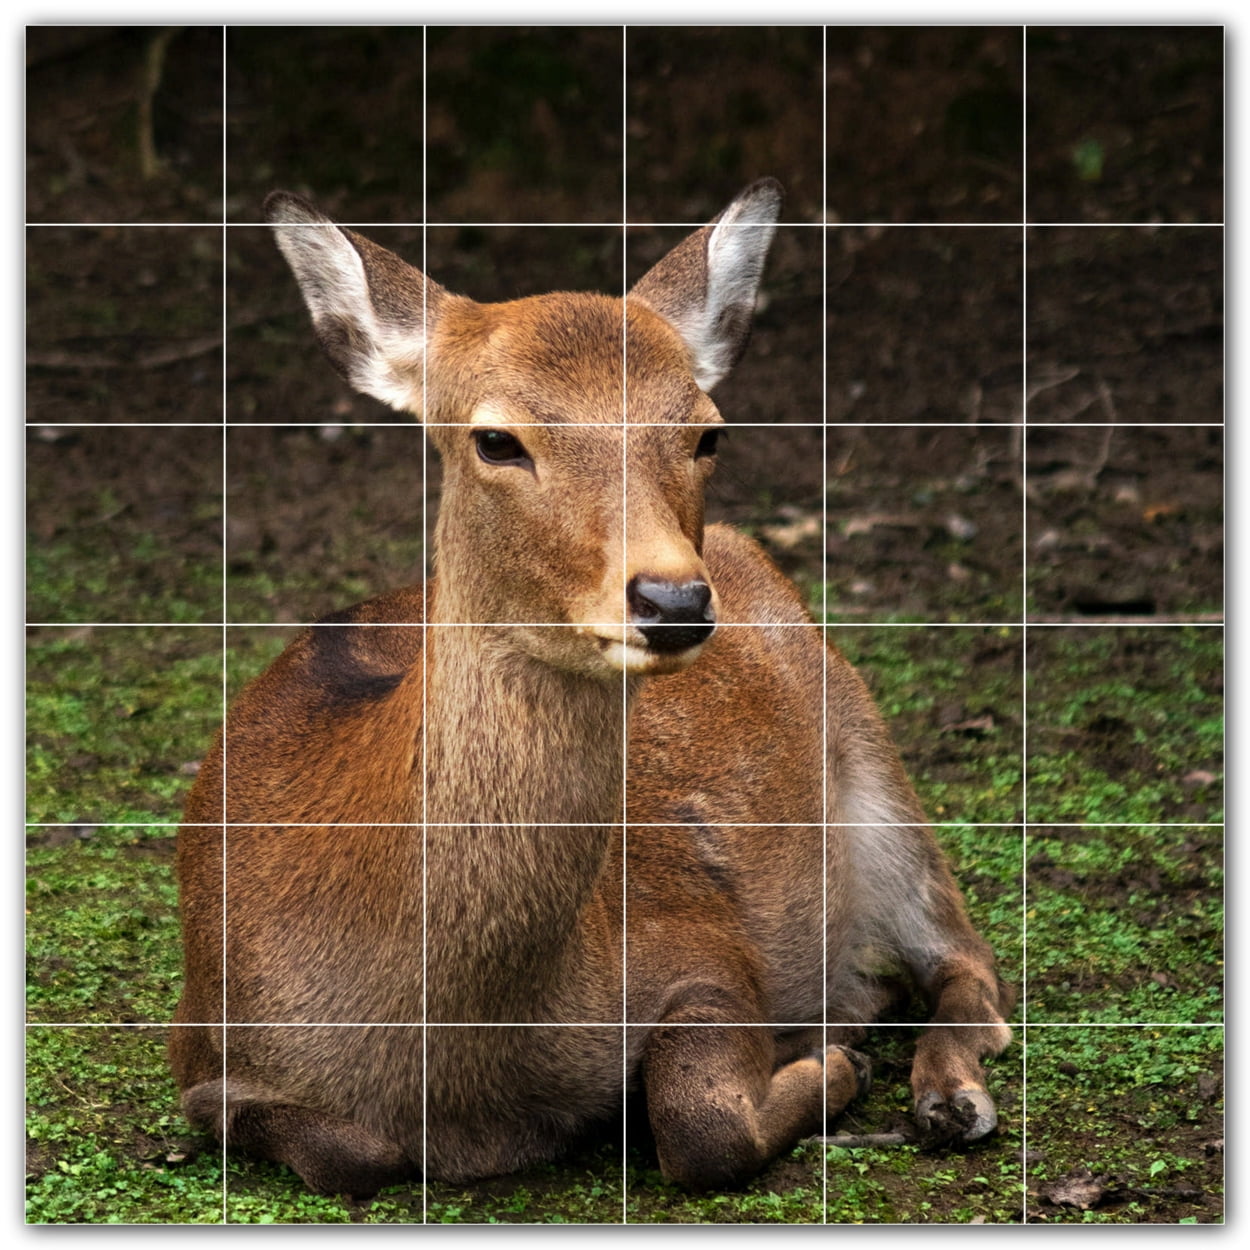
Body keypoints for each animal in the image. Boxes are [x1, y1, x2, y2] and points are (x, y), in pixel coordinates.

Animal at [170, 179, 1012, 1198]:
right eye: (496, 439)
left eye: (707, 429)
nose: (674, 598)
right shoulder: (202, 1042)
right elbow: (343, 1151)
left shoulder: (700, 947)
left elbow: (701, 1120)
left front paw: (834, 1064)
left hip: (873, 760)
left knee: (967, 962)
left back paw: (946, 1095)